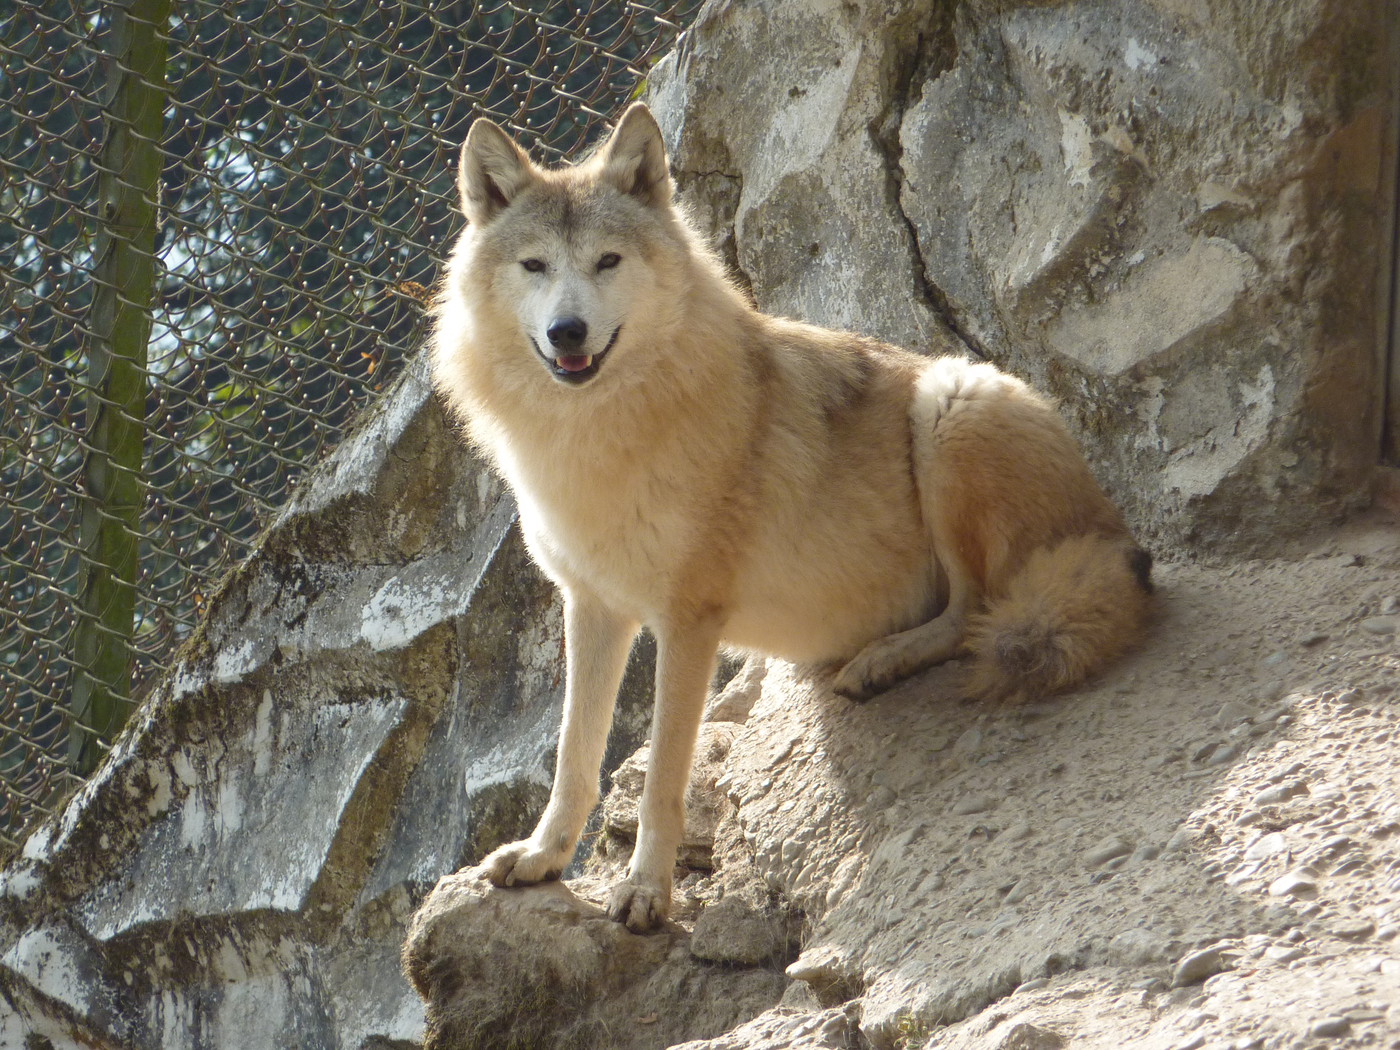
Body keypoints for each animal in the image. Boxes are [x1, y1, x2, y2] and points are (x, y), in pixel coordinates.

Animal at [431, 102, 1152, 932]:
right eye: (536, 267)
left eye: (608, 262)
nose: (567, 332)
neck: (596, 439)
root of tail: (1115, 537)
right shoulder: (593, 608)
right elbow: (573, 759)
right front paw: (544, 857)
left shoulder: (688, 620)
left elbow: (661, 779)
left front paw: (647, 892)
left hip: (948, 404)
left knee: (973, 613)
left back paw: (881, 661)